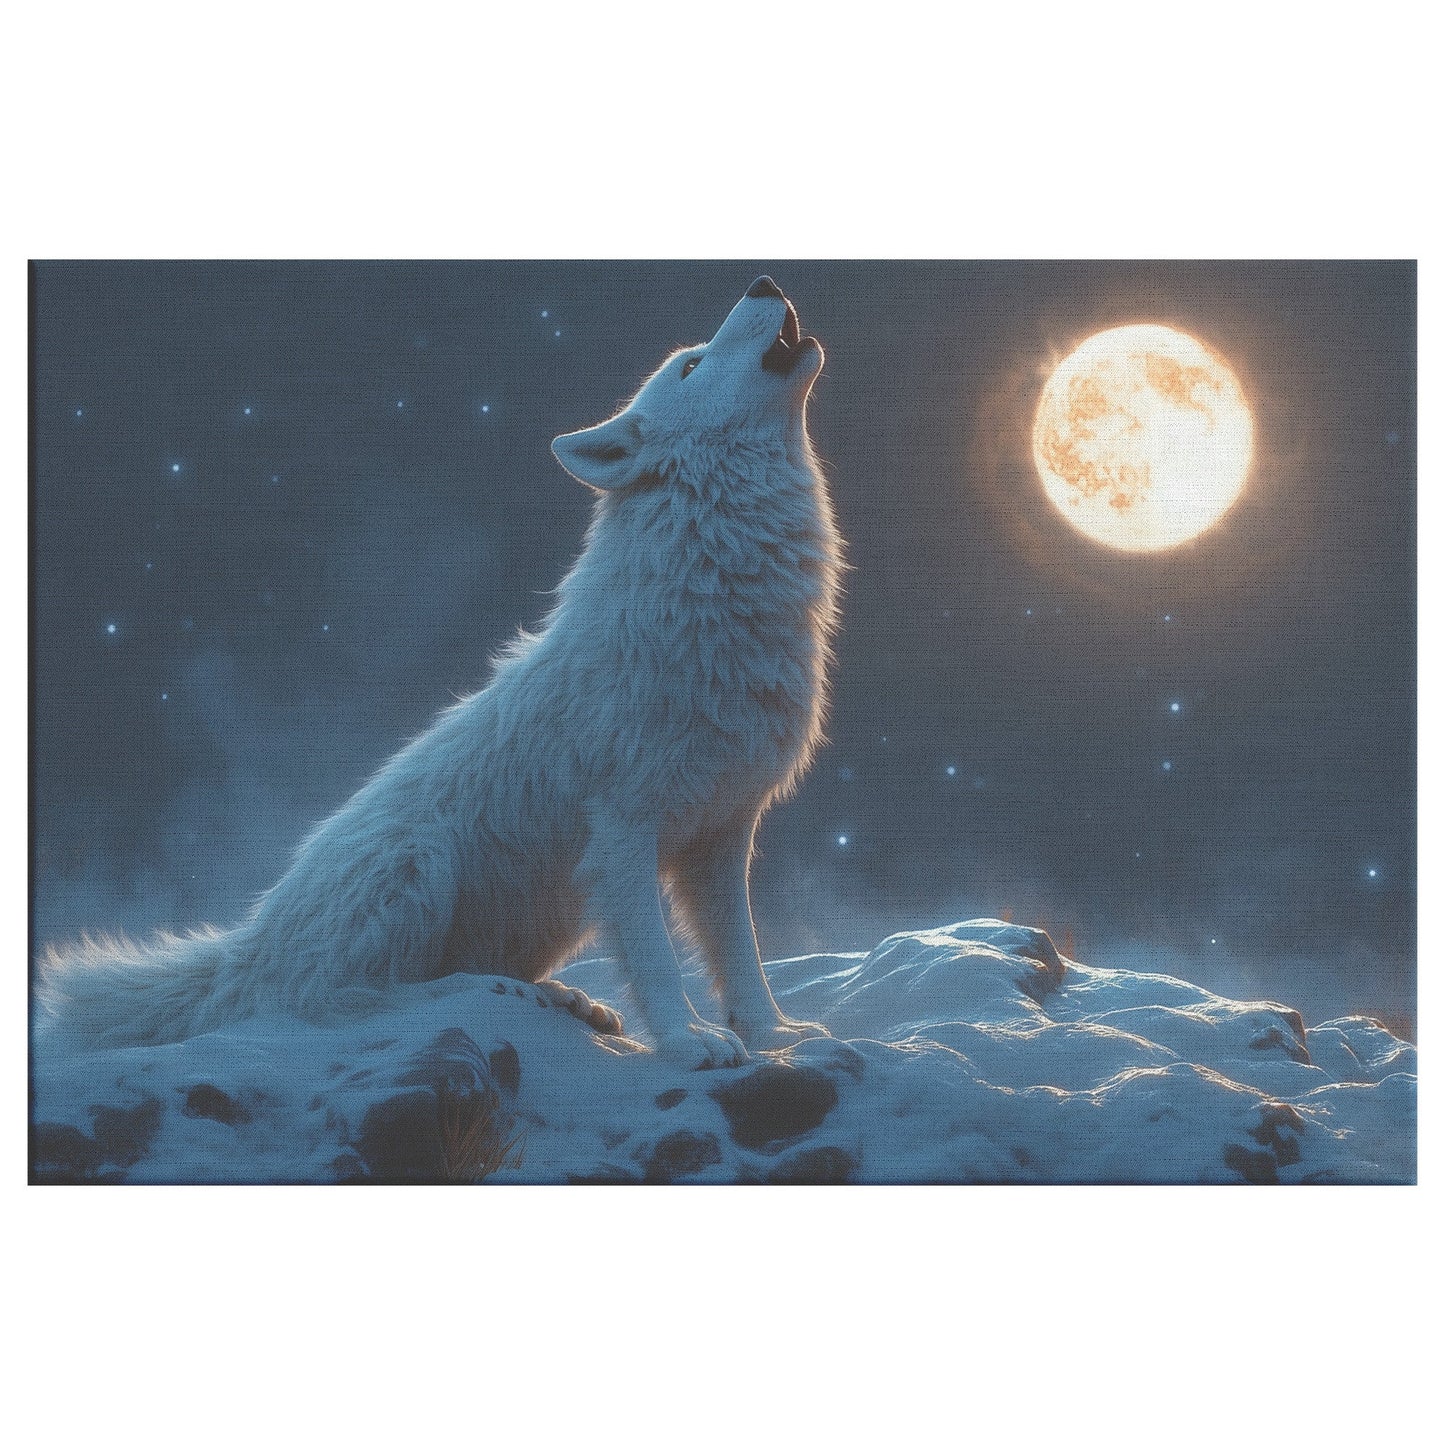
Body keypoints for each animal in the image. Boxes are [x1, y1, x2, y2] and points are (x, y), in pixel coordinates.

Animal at [38, 277, 844, 1070]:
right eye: (690, 363)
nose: (763, 280)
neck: (718, 591)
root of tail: (247, 947)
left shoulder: (724, 835)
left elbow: (742, 956)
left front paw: (777, 1035)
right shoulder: (623, 826)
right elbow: (655, 958)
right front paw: (686, 1040)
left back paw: (566, 999)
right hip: (415, 863)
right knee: (357, 1000)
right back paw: (493, 994)